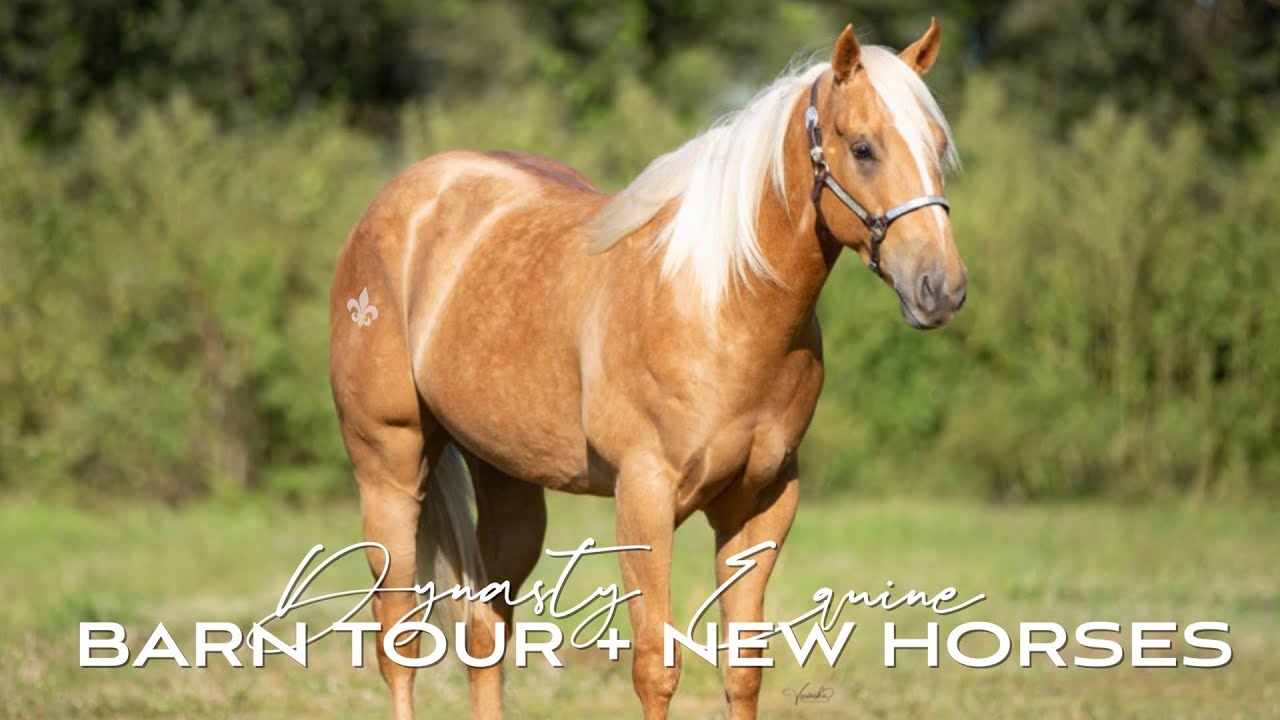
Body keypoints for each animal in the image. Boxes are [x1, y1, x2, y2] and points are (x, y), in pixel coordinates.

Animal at [329, 20, 966, 720]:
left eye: (937, 145)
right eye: (863, 148)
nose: (941, 287)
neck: (720, 304)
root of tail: (396, 201)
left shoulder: (762, 506)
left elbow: (743, 669)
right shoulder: (644, 500)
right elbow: (656, 669)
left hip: (506, 480)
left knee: (483, 633)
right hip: (388, 471)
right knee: (398, 644)